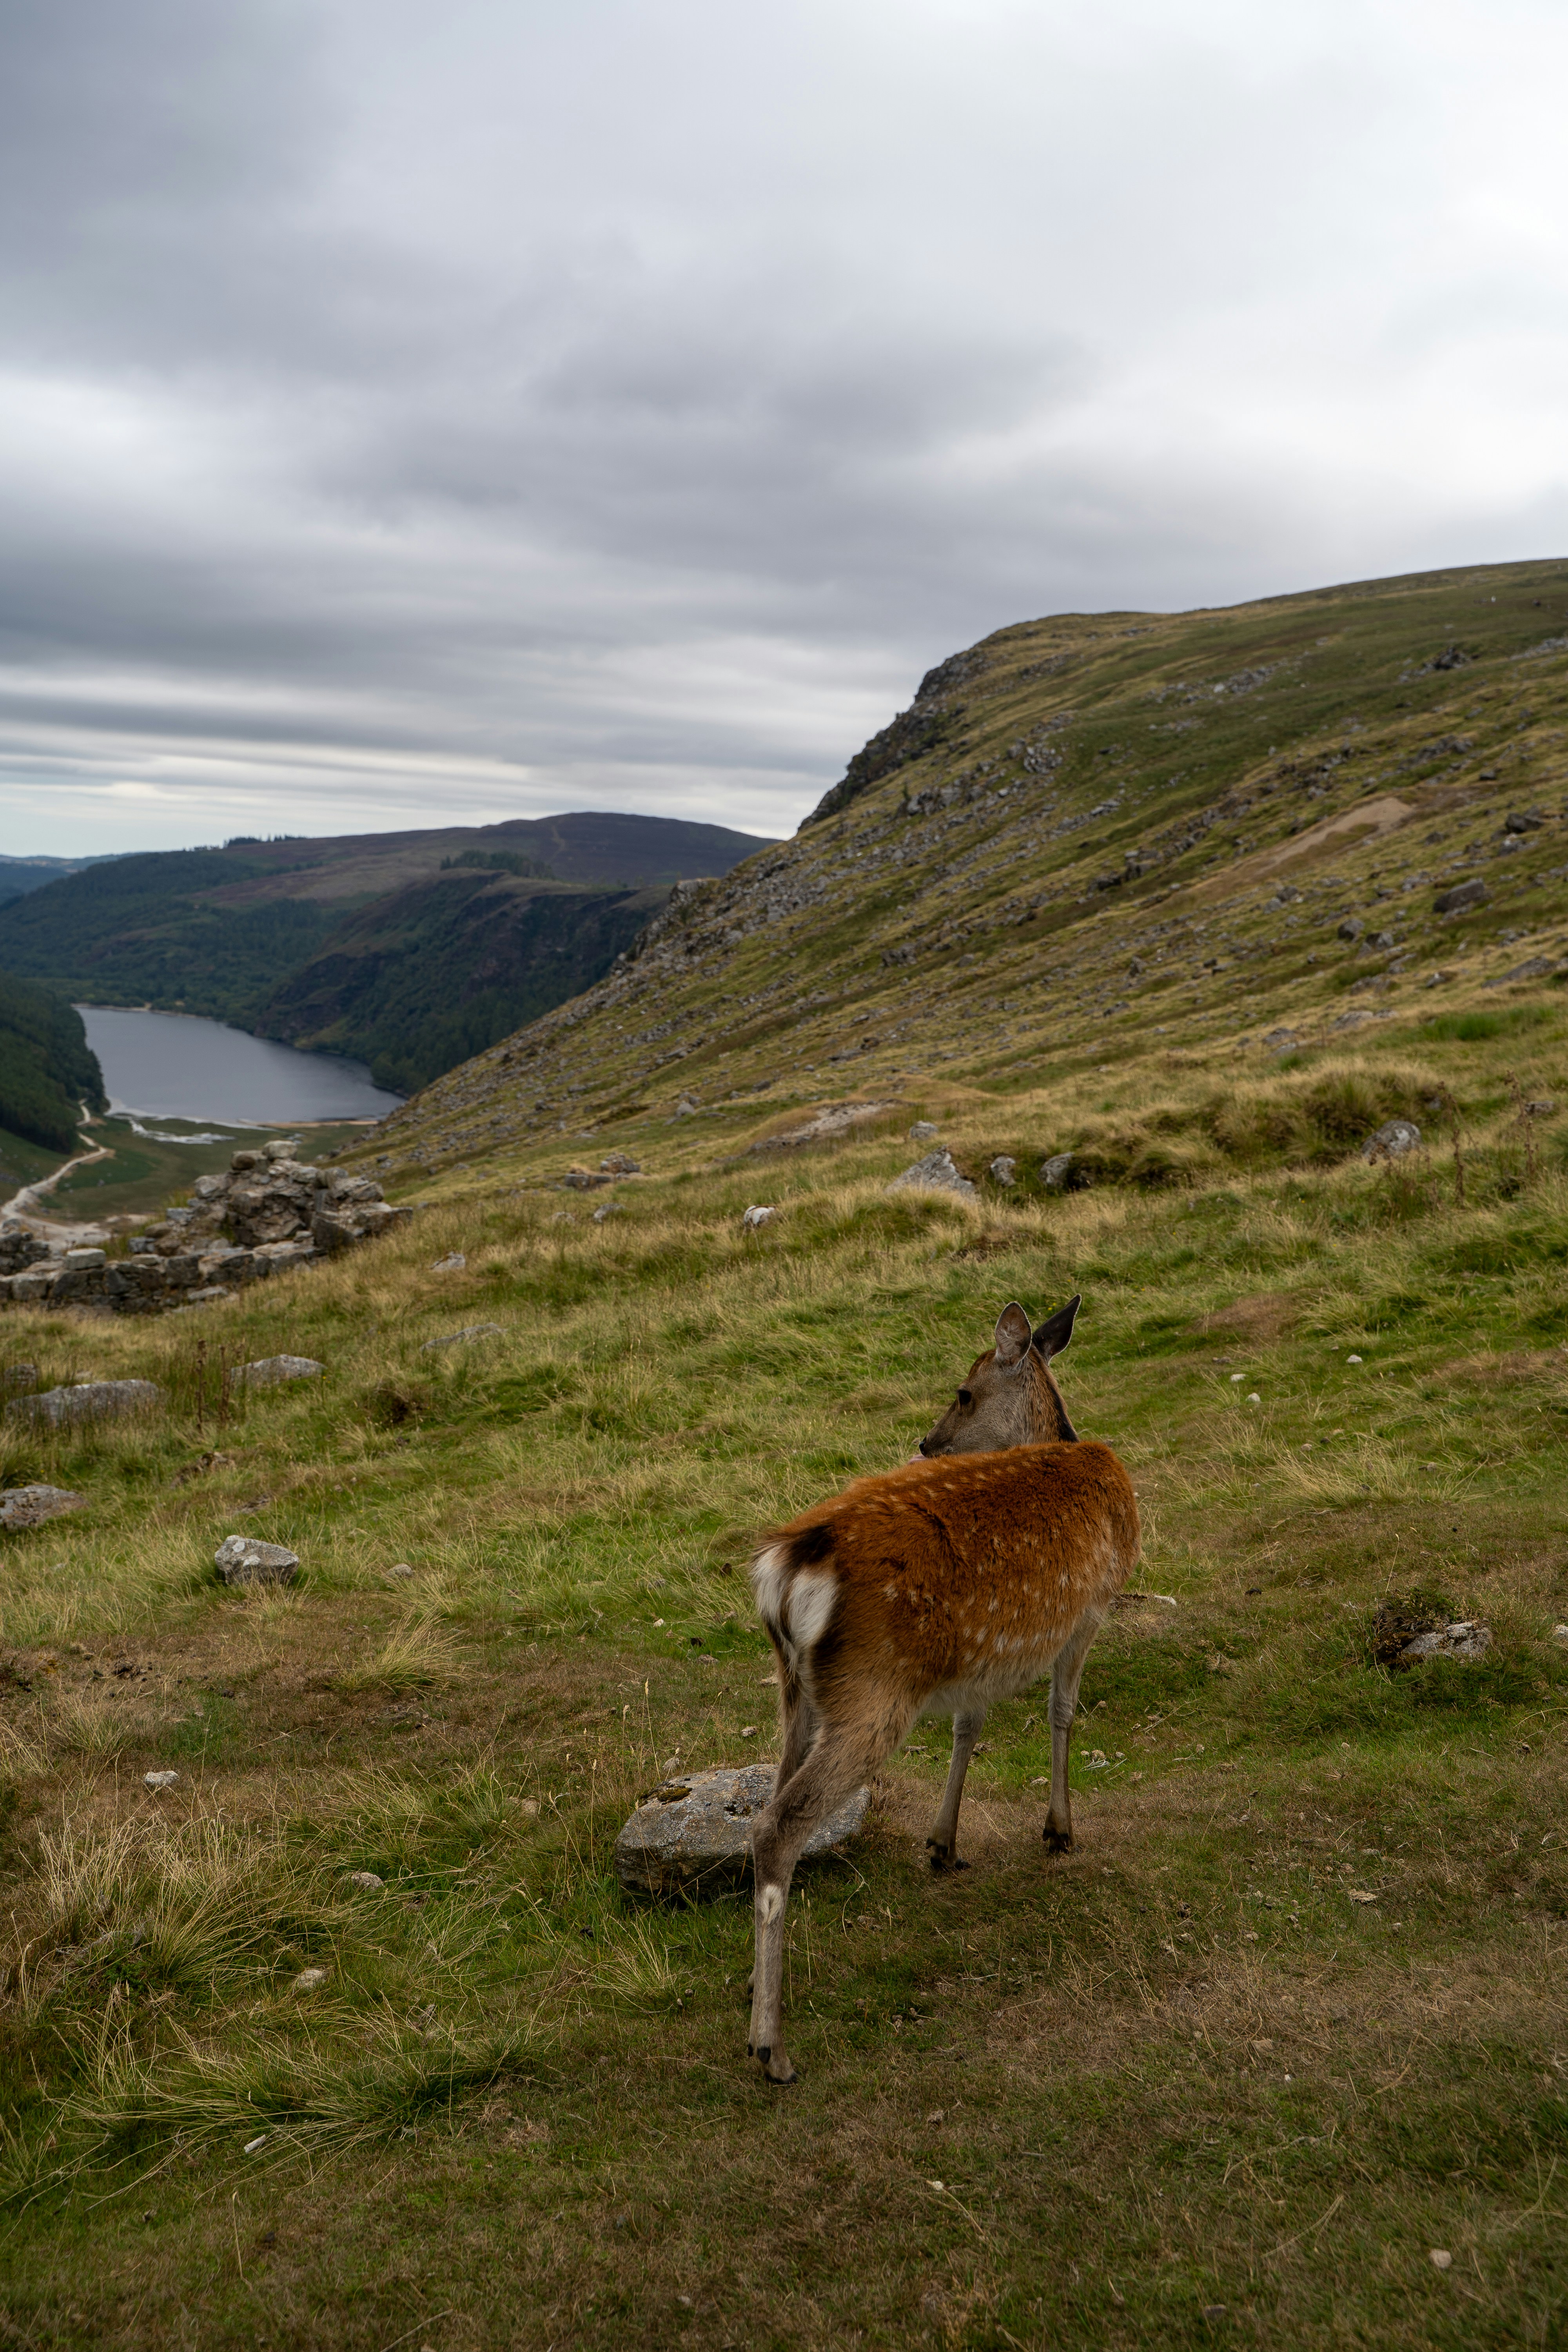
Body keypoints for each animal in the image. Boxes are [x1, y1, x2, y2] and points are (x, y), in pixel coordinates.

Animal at [746, 1293, 1139, 2084]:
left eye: (963, 1392)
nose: (927, 1443)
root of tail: (788, 1564)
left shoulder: (981, 1655)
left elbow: (969, 1730)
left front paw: (944, 1844)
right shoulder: (1091, 1609)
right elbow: (1062, 1712)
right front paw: (1060, 1830)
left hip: (797, 1692)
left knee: (768, 1801)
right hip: (874, 1690)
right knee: (780, 1826)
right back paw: (774, 2049)